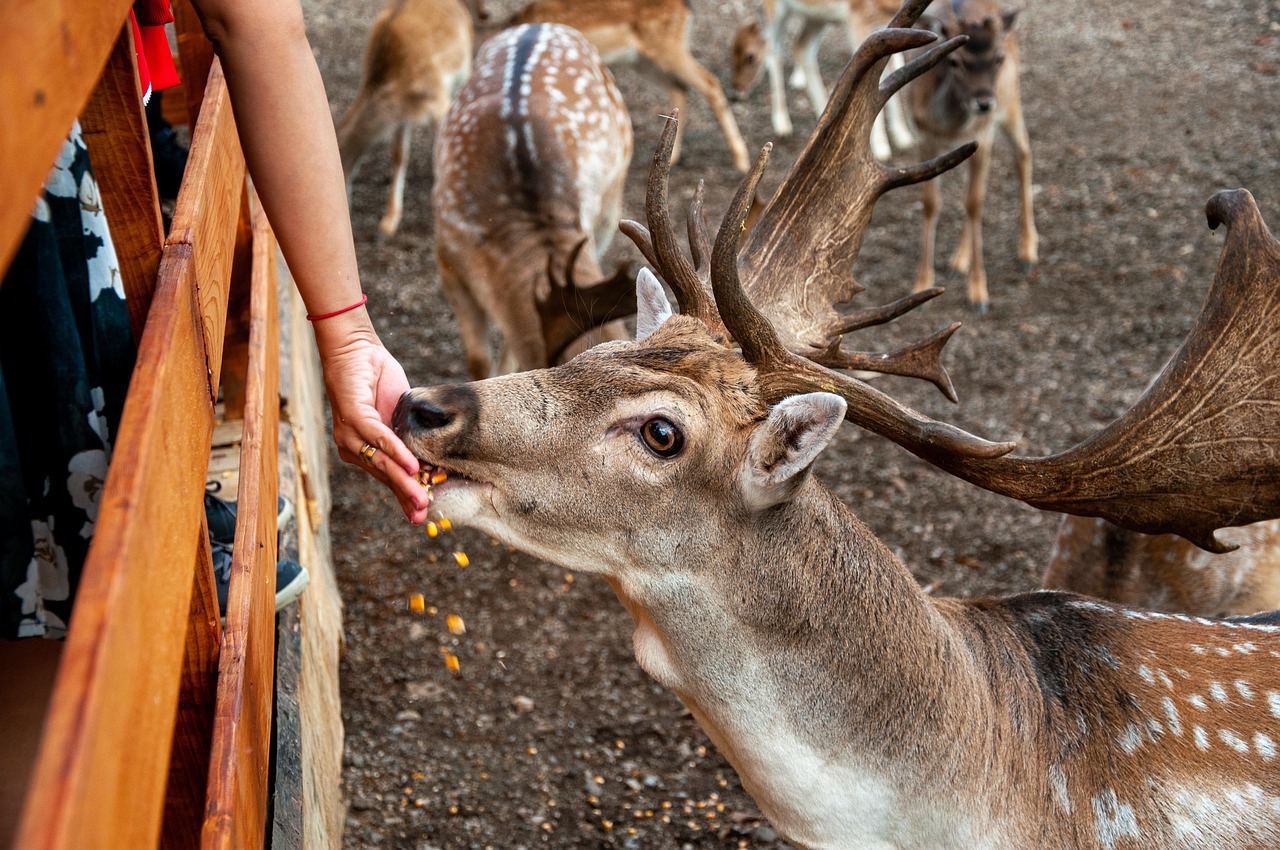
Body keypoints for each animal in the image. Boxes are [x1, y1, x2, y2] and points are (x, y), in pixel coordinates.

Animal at [490, 0, 751, 173]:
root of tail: (686, 7)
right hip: (644, 60)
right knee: (679, 88)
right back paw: (672, 158)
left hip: (668, 48)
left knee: (710, 82)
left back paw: (742, 161)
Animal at [730, 0, 915, 160]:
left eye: (749, 57)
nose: (736, 92)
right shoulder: (857, 18)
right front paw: (880, 147)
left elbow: (895, 65)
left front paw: (903, 136)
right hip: (777, 9)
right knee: (774, 51)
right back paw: (783, 124)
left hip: (816, 17)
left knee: (802, 47)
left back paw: (824, 117)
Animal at [907, 0, 1037, 311]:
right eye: (954, 61)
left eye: (998, 58)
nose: (984, 103)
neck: (949, 127)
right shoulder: (925, 138)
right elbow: (931, 204)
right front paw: (922, 284)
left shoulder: (984, 136)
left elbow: (974, 204)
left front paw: (978, 293)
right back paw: (958, 260)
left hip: (1011, 101)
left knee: (1023, 153)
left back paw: (1028, 250)